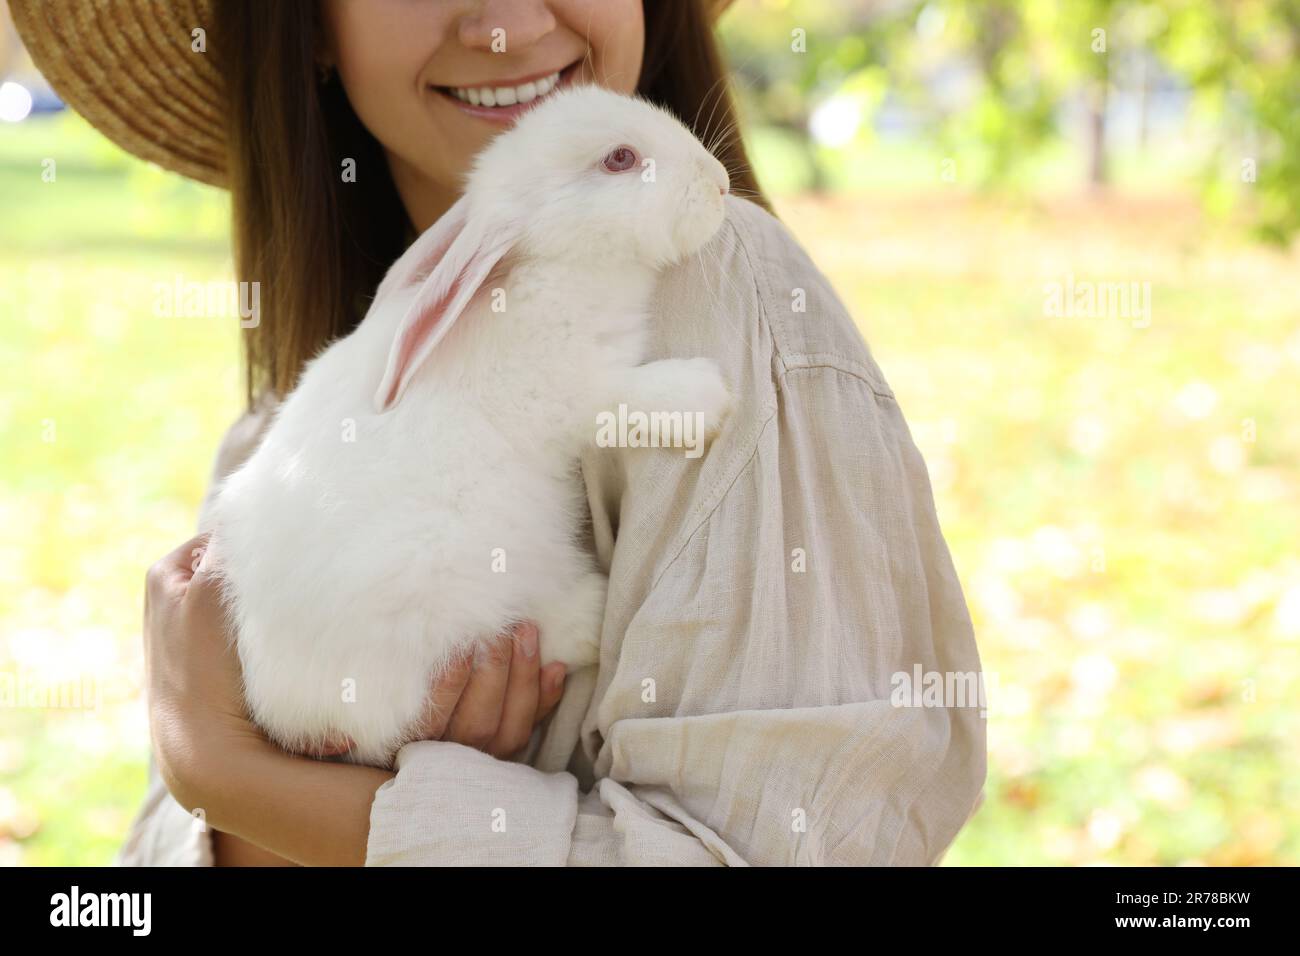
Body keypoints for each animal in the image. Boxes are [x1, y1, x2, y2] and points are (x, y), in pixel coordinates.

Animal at [201, 84, 734, 768]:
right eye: (620, 158)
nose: (720, 183)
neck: (548, 268)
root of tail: (300, 717)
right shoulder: (571, 394)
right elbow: (626, 398)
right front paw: (706, 395)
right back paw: (591, 612)